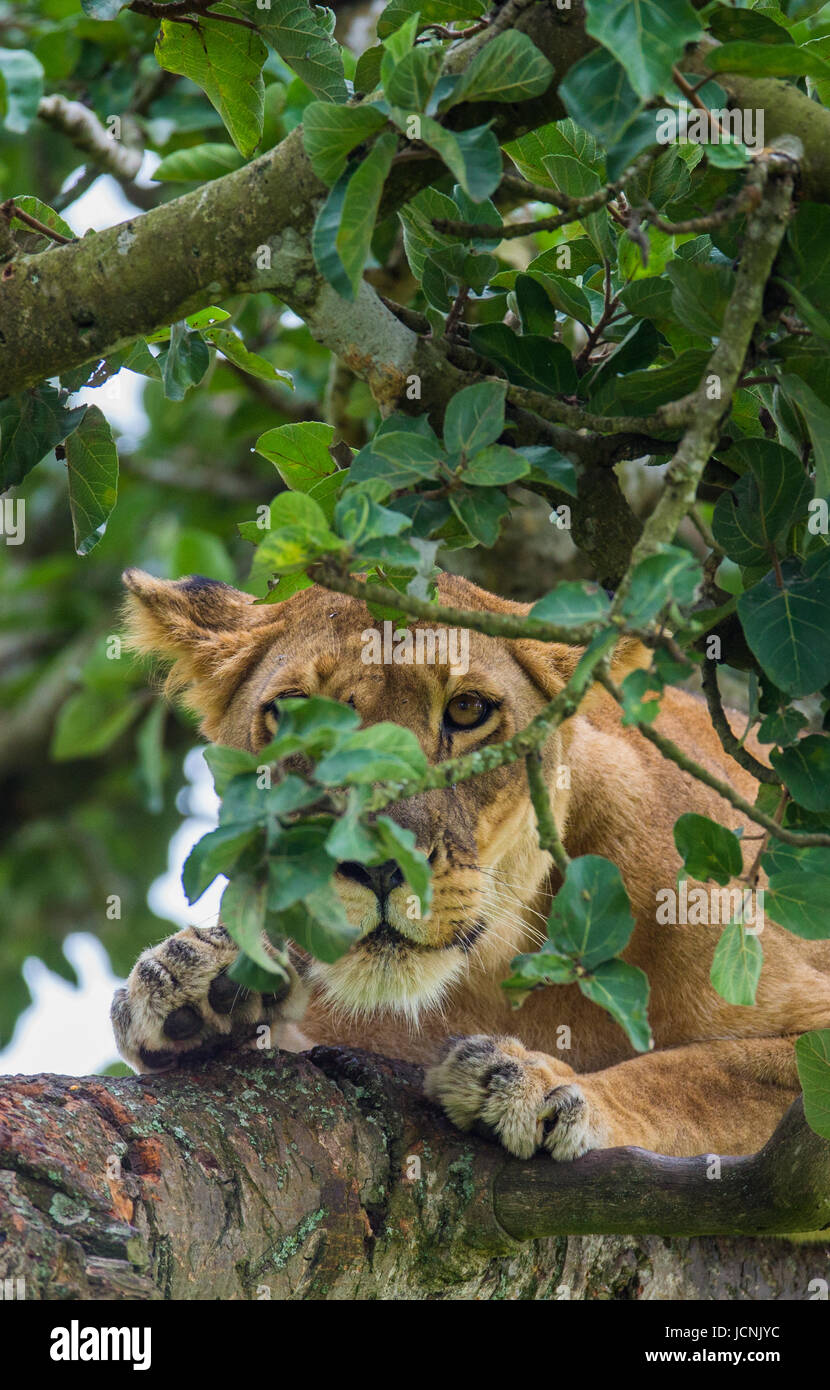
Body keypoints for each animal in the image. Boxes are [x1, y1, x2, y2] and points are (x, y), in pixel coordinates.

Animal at [111, 568, 830, 1161]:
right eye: (294, 714)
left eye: (466, 710)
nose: (379, 864)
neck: (490, 979)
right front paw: (190, 983)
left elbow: (696, 1076)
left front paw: (535, 1087)